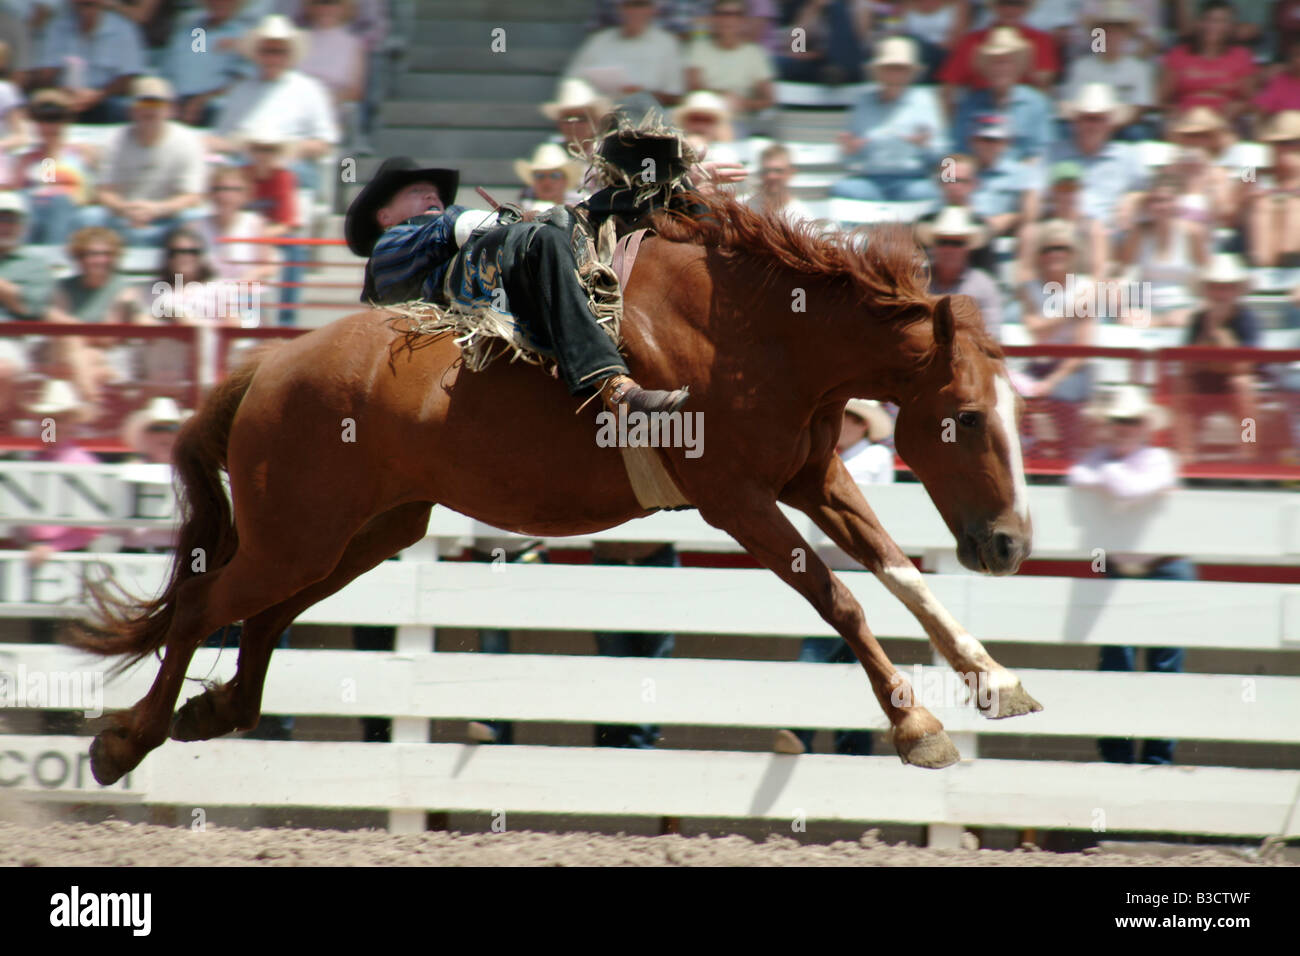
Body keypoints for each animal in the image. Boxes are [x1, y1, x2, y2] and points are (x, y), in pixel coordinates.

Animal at [72, 193, 1040, 786]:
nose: (1012, 543)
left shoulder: (815, 476)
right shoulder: (736, 498)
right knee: (204, 606)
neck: (756, 333)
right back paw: (124, 739)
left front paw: (994, 679)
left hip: (362, 534)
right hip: (296, 534)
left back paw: (213, 710)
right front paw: (919, 729)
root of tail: (268, 365)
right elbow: (841, 598)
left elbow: (900, 572)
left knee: (263, 617)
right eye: (963, 417)